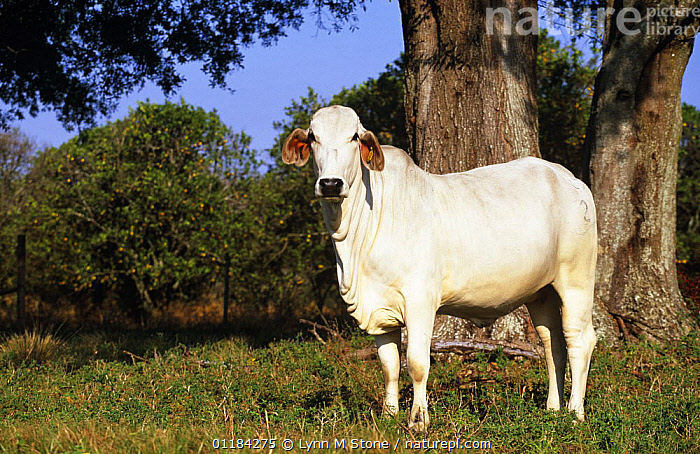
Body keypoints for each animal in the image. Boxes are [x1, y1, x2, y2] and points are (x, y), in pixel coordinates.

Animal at [282, 105, 597, 431]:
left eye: (354, 137)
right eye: (313, 137)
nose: (331, 183)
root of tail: (568, 177)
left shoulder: (420, 300)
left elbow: (417, 363)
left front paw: (418, 420)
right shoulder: (380, 309)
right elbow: (389, 364)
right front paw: (389, 415)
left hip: (577, 278)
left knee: (580, 340)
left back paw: (575, 413)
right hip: (541, 292)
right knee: (552, 344)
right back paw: (552, 410)